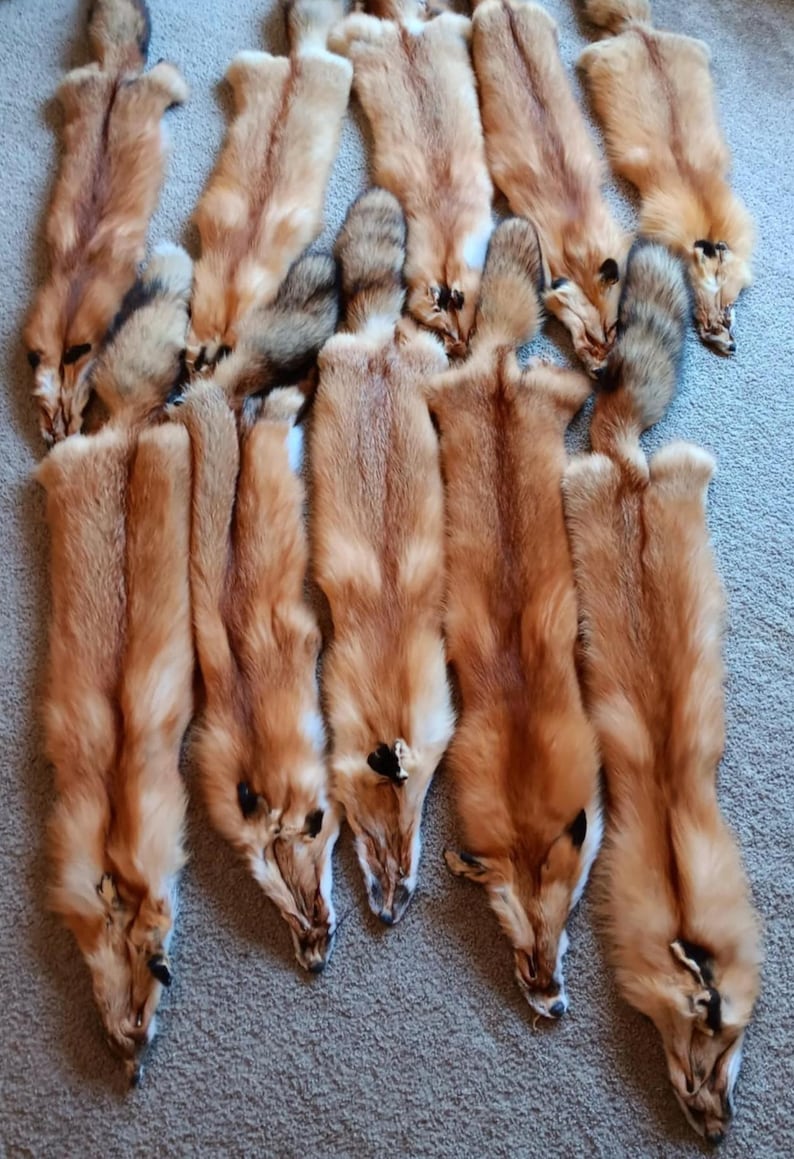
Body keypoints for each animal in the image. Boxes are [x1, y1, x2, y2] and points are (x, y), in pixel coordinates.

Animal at [181, 370, 338, 972]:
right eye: (293, 919)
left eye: (311, 909)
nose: (315, 966)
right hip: (273, 438)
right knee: (271, 405)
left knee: (269, 406)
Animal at [186, 0, 351, 373]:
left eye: (203, 362)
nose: (191, 377)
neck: (233, 272)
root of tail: (300, 57)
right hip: (255, 66)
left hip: (334, 72)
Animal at [329, 11, 494, 357]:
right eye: (443, 331)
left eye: (466, 329)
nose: (458, 348)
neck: (447, 232)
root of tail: (405, 30)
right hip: (368, 41)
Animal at [578, 0, 754, 355]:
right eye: (720, 301)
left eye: (729, 309)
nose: (730, 346)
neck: (699, 196)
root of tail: (640, 30)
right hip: (595, 57)